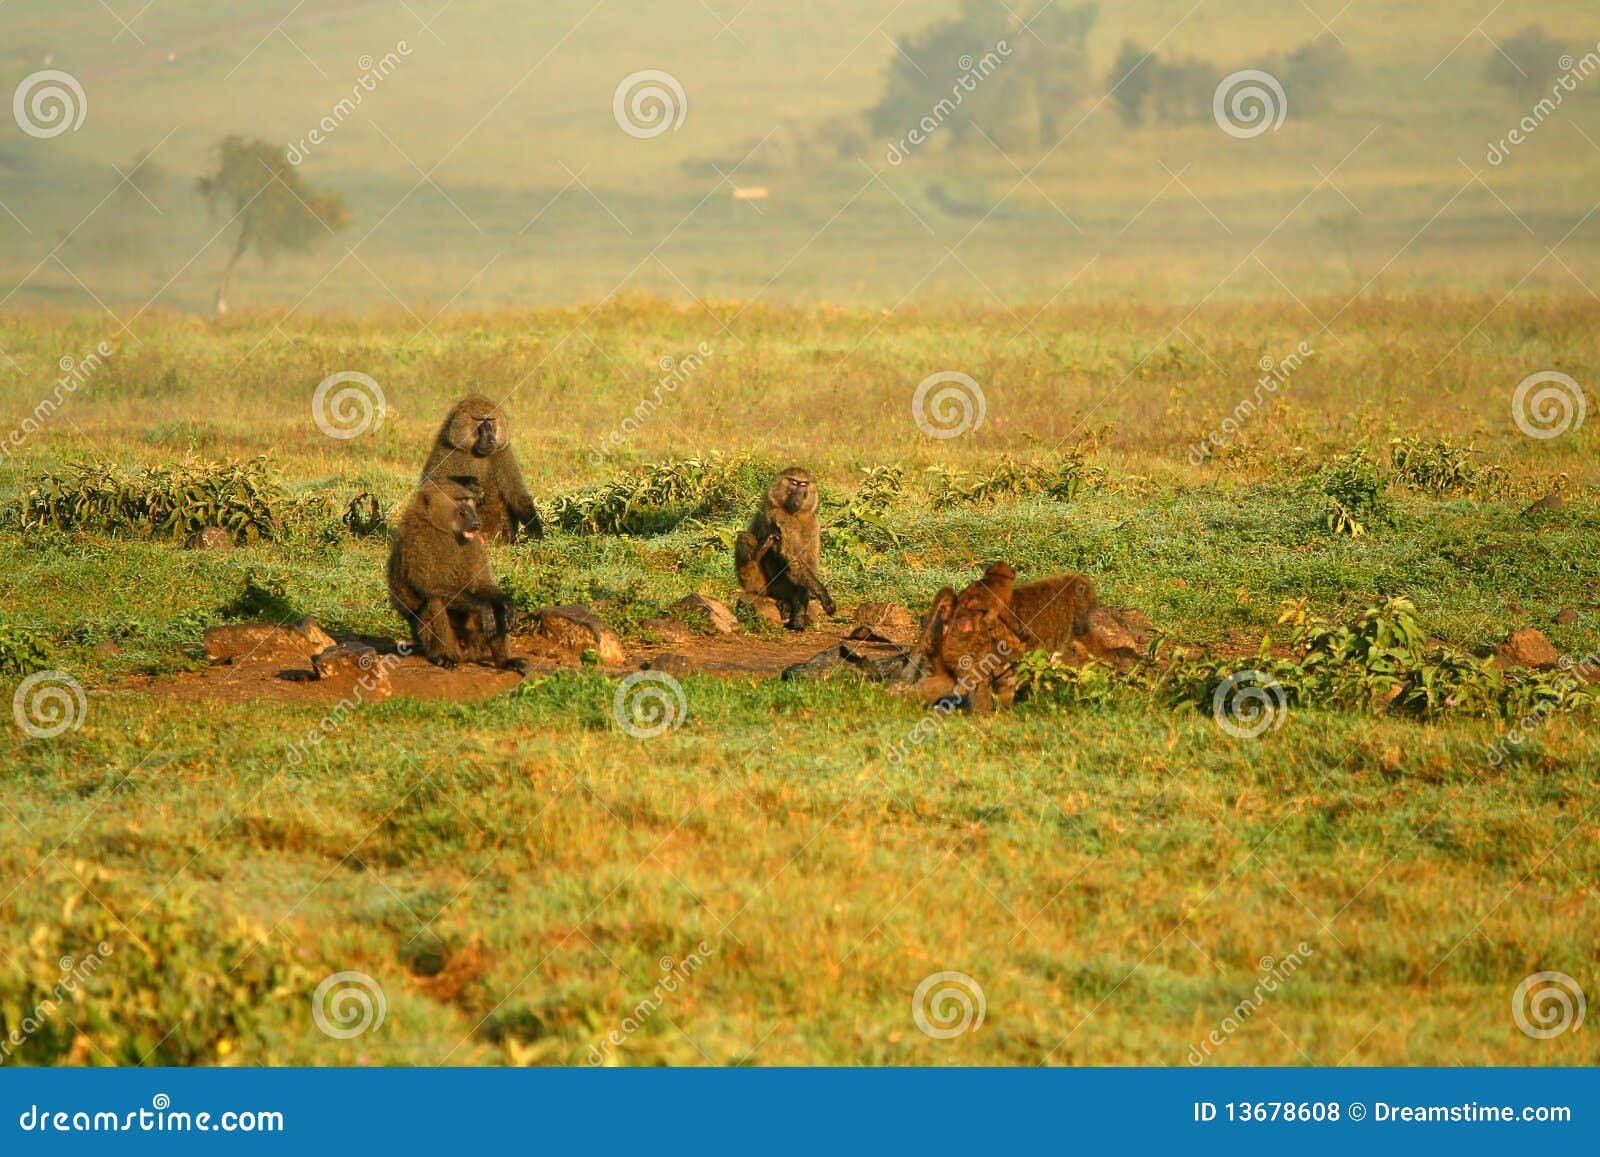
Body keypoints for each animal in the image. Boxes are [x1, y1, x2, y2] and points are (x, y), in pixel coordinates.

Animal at [387, 480, 529, 674]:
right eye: (460, 504)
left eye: (470, 502)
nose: (476, 522)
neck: (442, 529)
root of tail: (466, 655)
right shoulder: (417, 540)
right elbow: (429, 585)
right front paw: (483, 607)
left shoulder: (475, 543)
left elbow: (482, 585)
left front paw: (508, 604)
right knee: (434, 600)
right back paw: (443, 656)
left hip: (477, 642)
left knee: (495, 605)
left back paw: (505, 661)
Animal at [420, 395, 543, 543]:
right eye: (480, 421)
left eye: (490, 420)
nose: (491, 441)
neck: (476, 452)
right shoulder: (446, 450)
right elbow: (430, 486)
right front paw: (472, 486)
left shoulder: (503, 453)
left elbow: (517, 494)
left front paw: (537, 533)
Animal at [734, 466, 836, 630]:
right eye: (793, 482)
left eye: (803, 484)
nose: (797, 500)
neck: (797, 515)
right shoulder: (779, 517)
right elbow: (793, 560)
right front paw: (823, 596)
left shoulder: (813, 522)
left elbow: (806, 562)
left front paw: (799, 614)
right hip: (758, 585)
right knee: (744, 537)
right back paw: (760, 550)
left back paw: (787, 604)